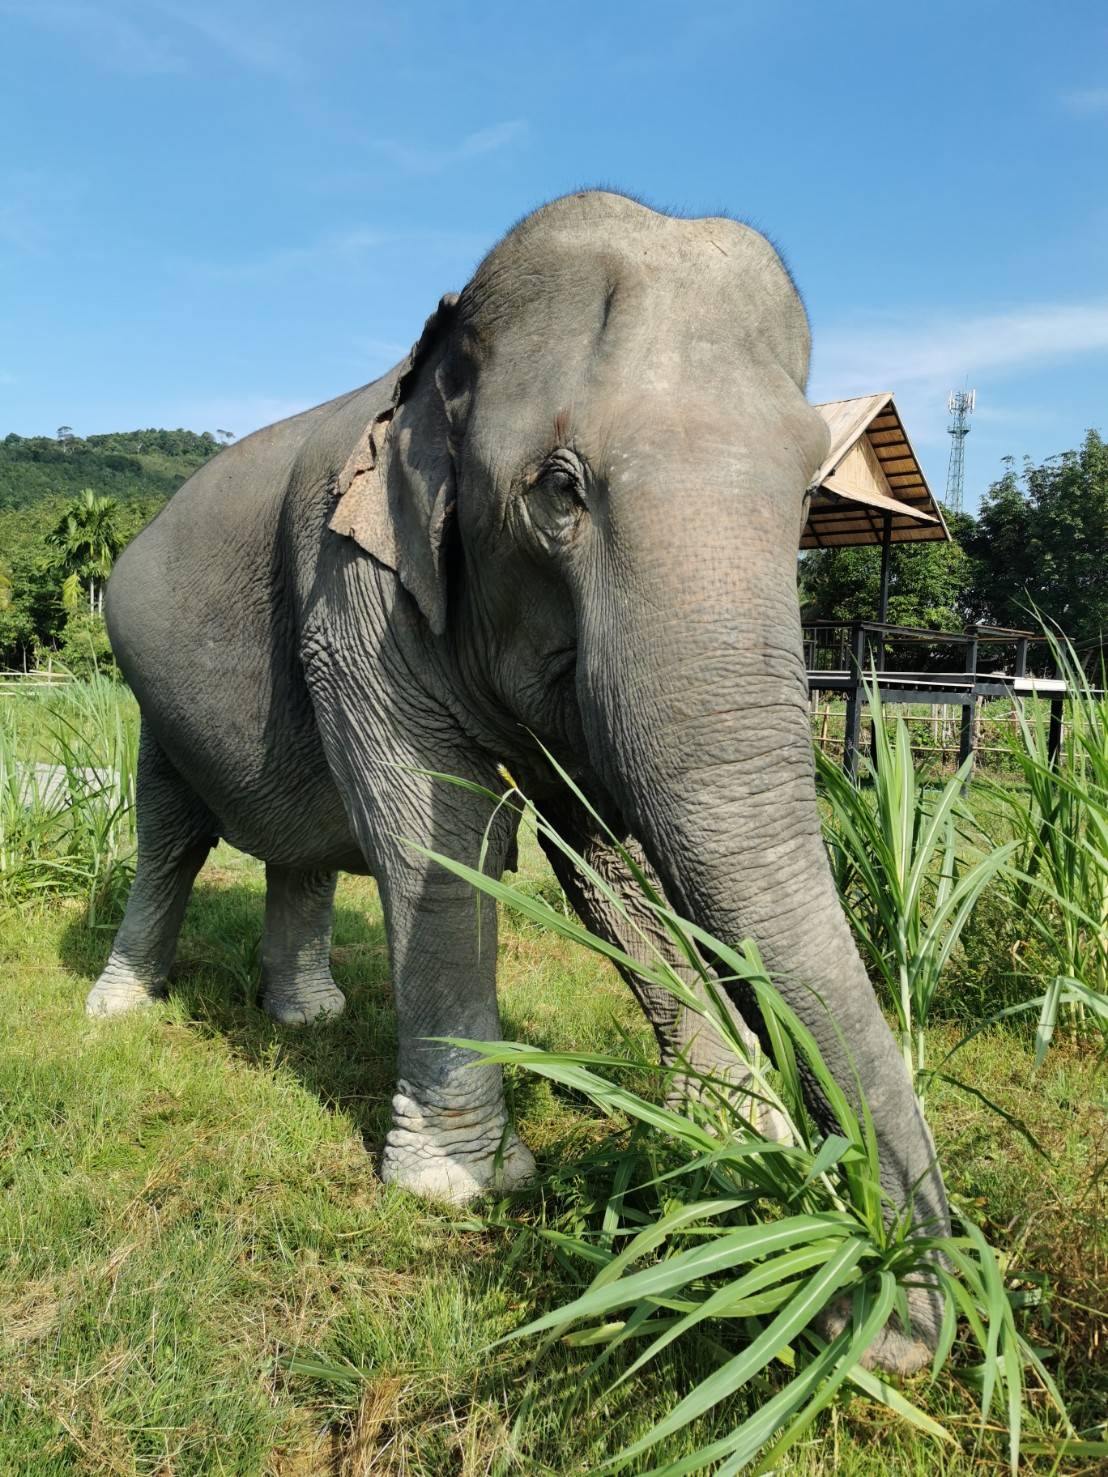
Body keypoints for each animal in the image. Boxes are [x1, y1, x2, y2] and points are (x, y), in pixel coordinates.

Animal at [90, 189, 949, 1372]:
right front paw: (466, 1186)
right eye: (559, 487)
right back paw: (120, 1006)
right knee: (171, 834)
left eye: (803, 493)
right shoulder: (352, 589)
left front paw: (733, 1129)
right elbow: (441, 841)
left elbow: (607, 856)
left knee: (300, 847)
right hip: (150, 693)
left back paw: (307, 1016)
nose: (879, 1309)